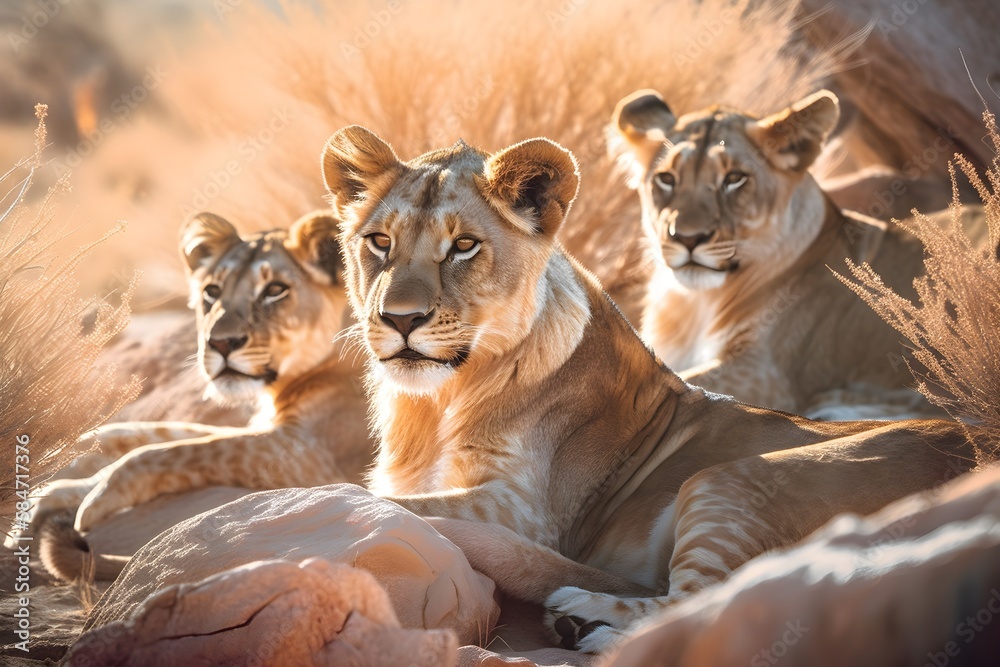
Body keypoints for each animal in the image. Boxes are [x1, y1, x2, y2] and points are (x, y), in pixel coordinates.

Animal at [32, 210, 374, 578]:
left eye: (275, 290)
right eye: (212, 291)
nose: (221, 343)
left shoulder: (308, 453)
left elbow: (171, 452)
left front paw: (96, 500)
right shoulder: (267, 429)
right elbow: (164, 434)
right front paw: (65, 478)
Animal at [319, 125, 983, 653]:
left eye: (463, 246)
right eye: (379, 242)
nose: (400, 319)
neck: (434, 405)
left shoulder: (526, 514)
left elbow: (382, 500)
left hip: (732, 480)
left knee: (699, 600)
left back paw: (587, 617)